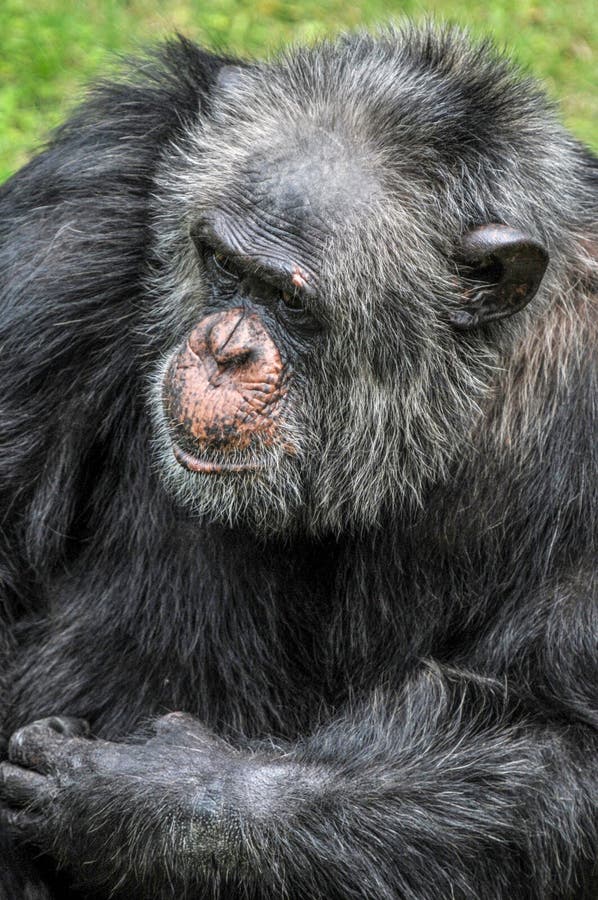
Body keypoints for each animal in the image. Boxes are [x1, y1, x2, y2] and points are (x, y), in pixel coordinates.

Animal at [0, 22, 595, 900]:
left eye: (287, 298)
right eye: (223, 264)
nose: (223, 348)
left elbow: (566, 744)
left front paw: (166, 798)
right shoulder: (90, 191)